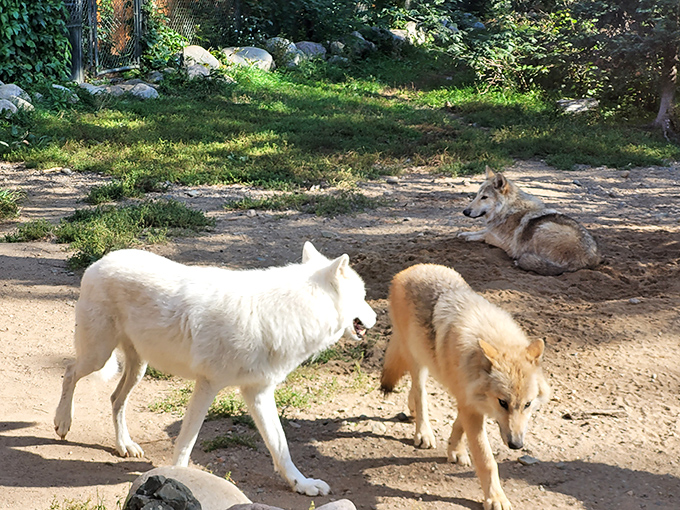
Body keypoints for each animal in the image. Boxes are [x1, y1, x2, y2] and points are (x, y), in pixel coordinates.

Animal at [54, 242, 376, 496]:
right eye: (362, 296)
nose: (375, 317)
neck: (292, 311)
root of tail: (99, 262)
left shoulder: (258, 392)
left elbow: (280, 446)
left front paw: (303, 484)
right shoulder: (207, 385)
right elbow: (187, 441)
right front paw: (178, 476)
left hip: (138, 367)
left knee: (115, 399)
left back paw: (124, 445)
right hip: (98, 357)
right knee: (70, 372)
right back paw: (63, 422)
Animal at [381, 264, 550, 510]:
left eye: (527, 404)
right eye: (503, 402)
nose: (517, 445)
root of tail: (411, 269)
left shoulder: (469, 398)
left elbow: (459, 425)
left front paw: (455, 449)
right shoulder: (471, 405)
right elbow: (486, 459)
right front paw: (495, 498)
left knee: (413, 393)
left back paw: (412, 412)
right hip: (417, 360)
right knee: (420, 393)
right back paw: (423, 432)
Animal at [458, 167, 601, 275]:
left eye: (484, 197)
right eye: (477, 195)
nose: (465, 211)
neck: (507, 210)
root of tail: (587, 259)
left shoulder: (505, 243)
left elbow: (485, 235)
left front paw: (468, 237)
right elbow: (482, 230)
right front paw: (464, 234)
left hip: (543, 227)